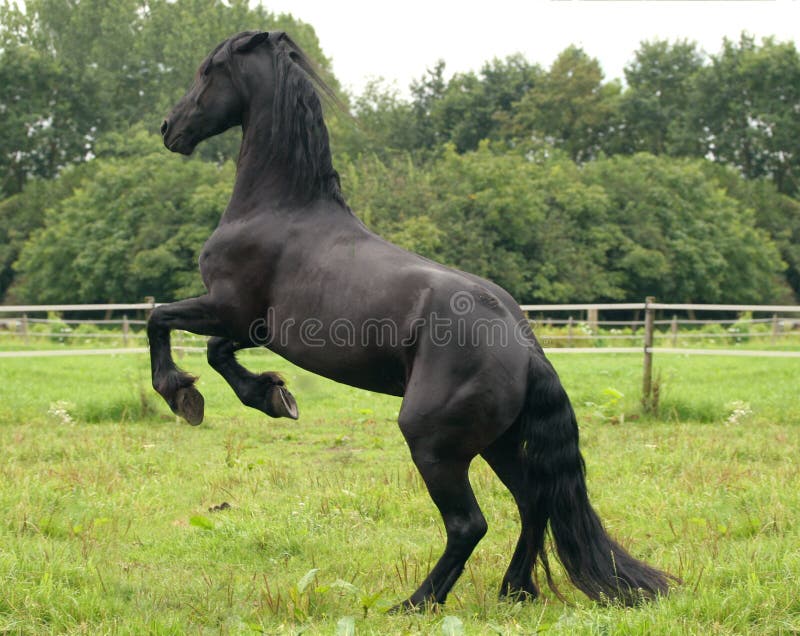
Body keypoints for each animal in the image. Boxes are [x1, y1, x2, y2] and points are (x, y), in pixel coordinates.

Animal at [150, 30, 675, 609]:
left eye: (208, 69)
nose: (169, 129)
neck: (277, 209)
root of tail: (525, 351)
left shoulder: (229, 308)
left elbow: (160, 320)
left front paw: (182, 395)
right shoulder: (247, 326)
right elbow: (216, 352)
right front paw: (272, 396)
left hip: (432, 442)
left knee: (470, 523)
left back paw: (416, 602)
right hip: (497, 443)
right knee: (533, 502)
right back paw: (513, 591)